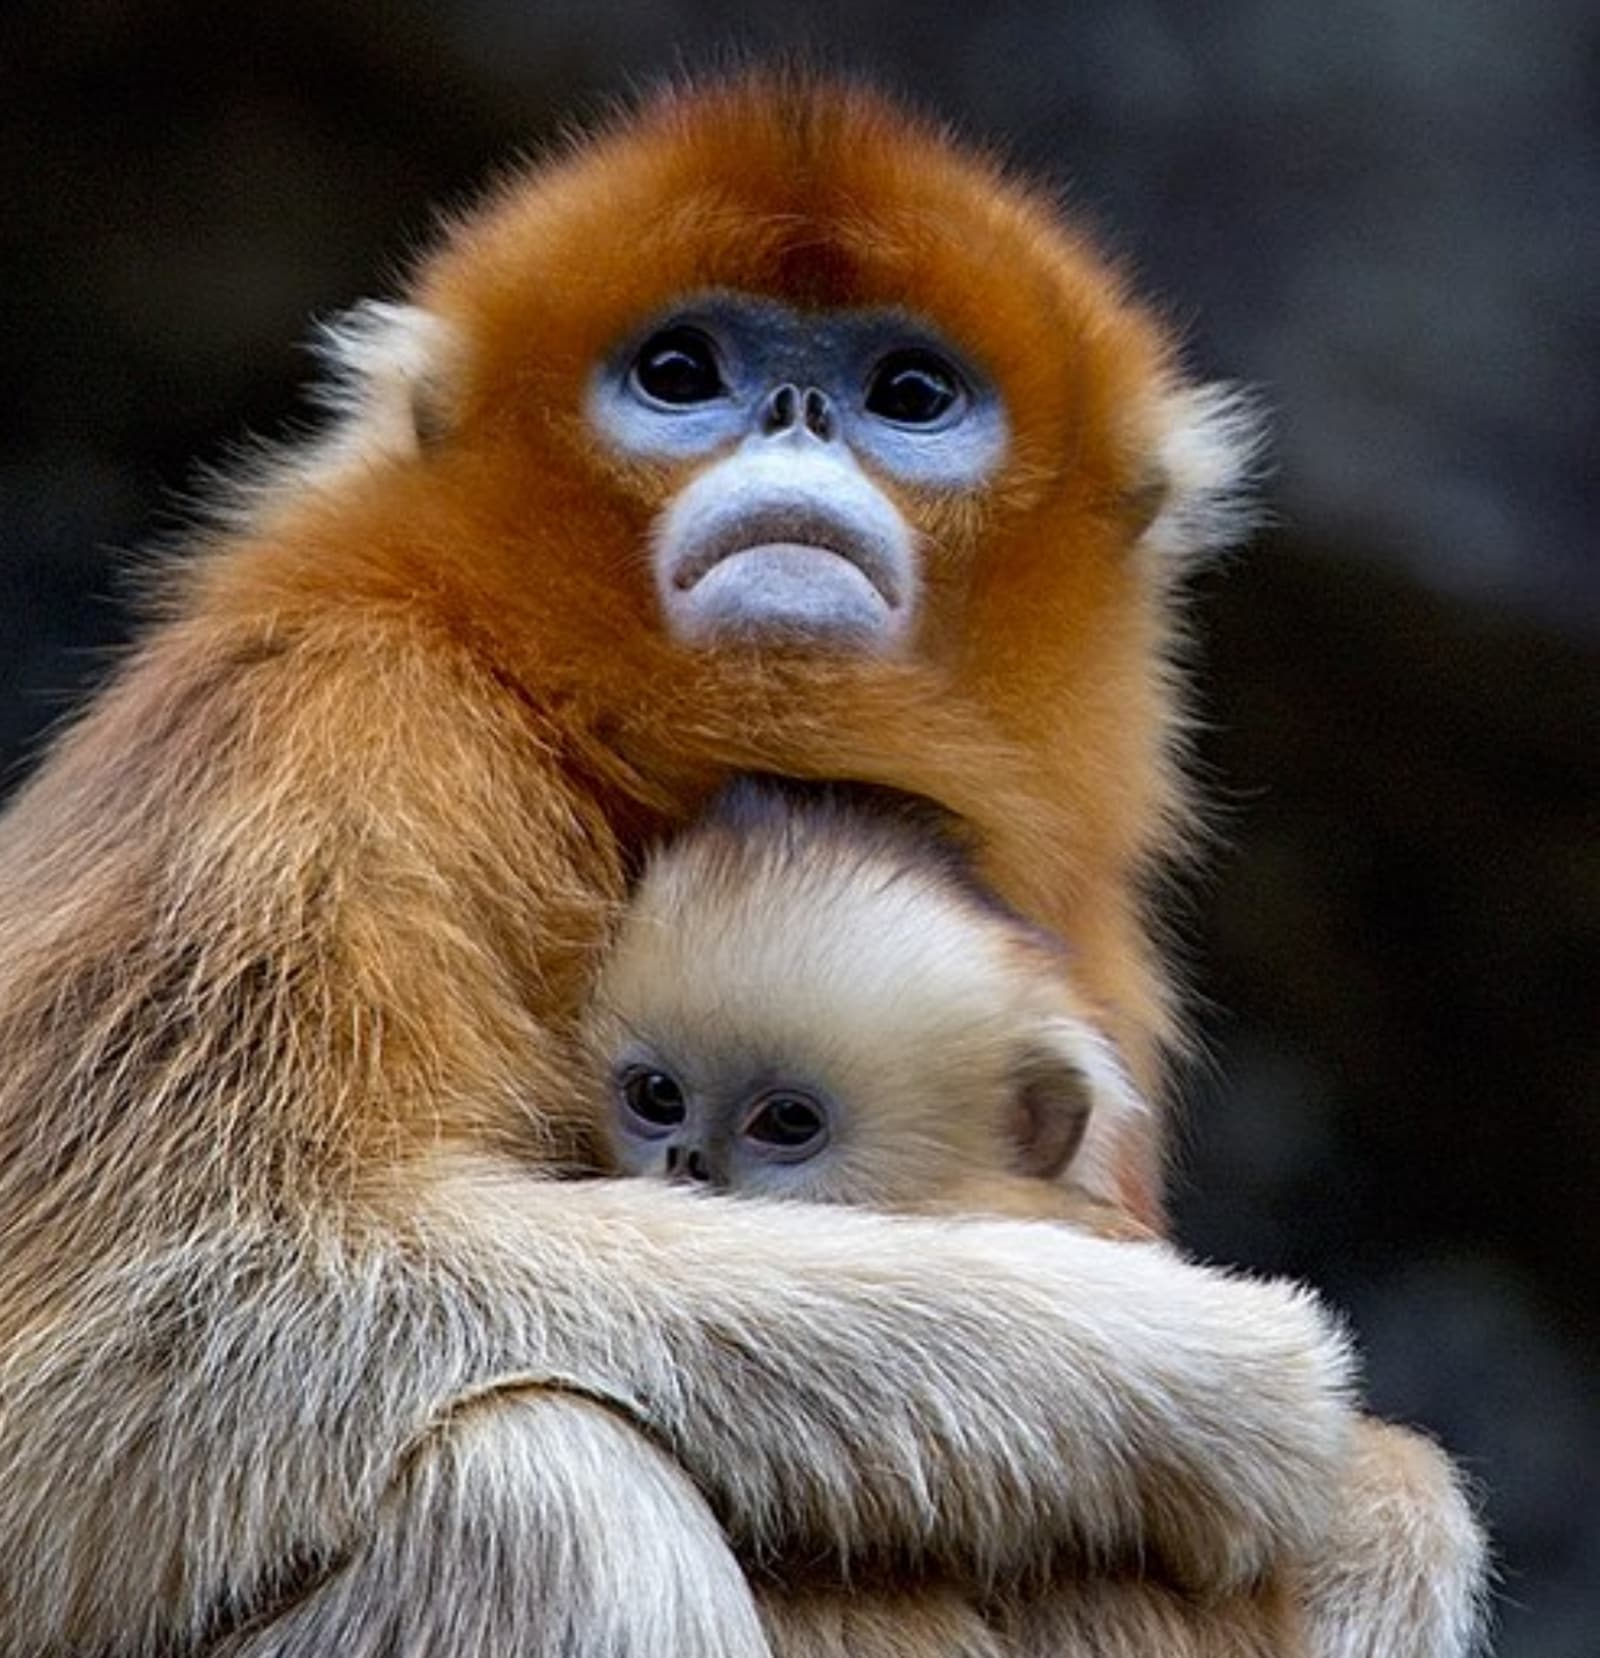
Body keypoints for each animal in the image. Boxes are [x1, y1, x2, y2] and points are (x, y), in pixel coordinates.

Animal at [0, 72, 1486, 1656]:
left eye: (910, 394)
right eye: (679, 371)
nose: (795, 412)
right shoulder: (323, 735)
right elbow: (171, 1333)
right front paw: (1193, 1370)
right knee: (542, 1477)